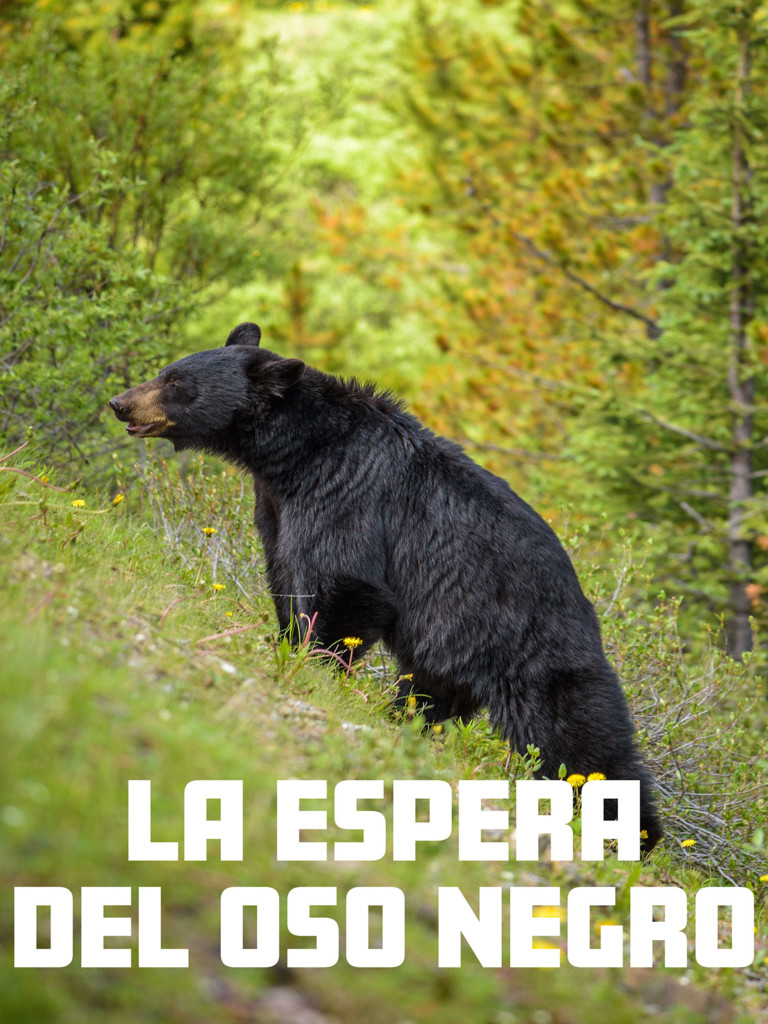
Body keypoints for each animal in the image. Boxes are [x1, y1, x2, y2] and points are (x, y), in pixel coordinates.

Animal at [110, 322, 663, 852]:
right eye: (166, 370)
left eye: (177, 383)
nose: (120, 403)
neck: (296, 455)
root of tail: (589, 613)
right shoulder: (277, 509)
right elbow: (286, 579)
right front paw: (286, 644)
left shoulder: (346, 494)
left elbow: (348, 586)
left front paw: (314, 667)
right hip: (453, 647)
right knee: (428, 695)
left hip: (536, 656)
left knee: (582, 745)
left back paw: (635, 834)